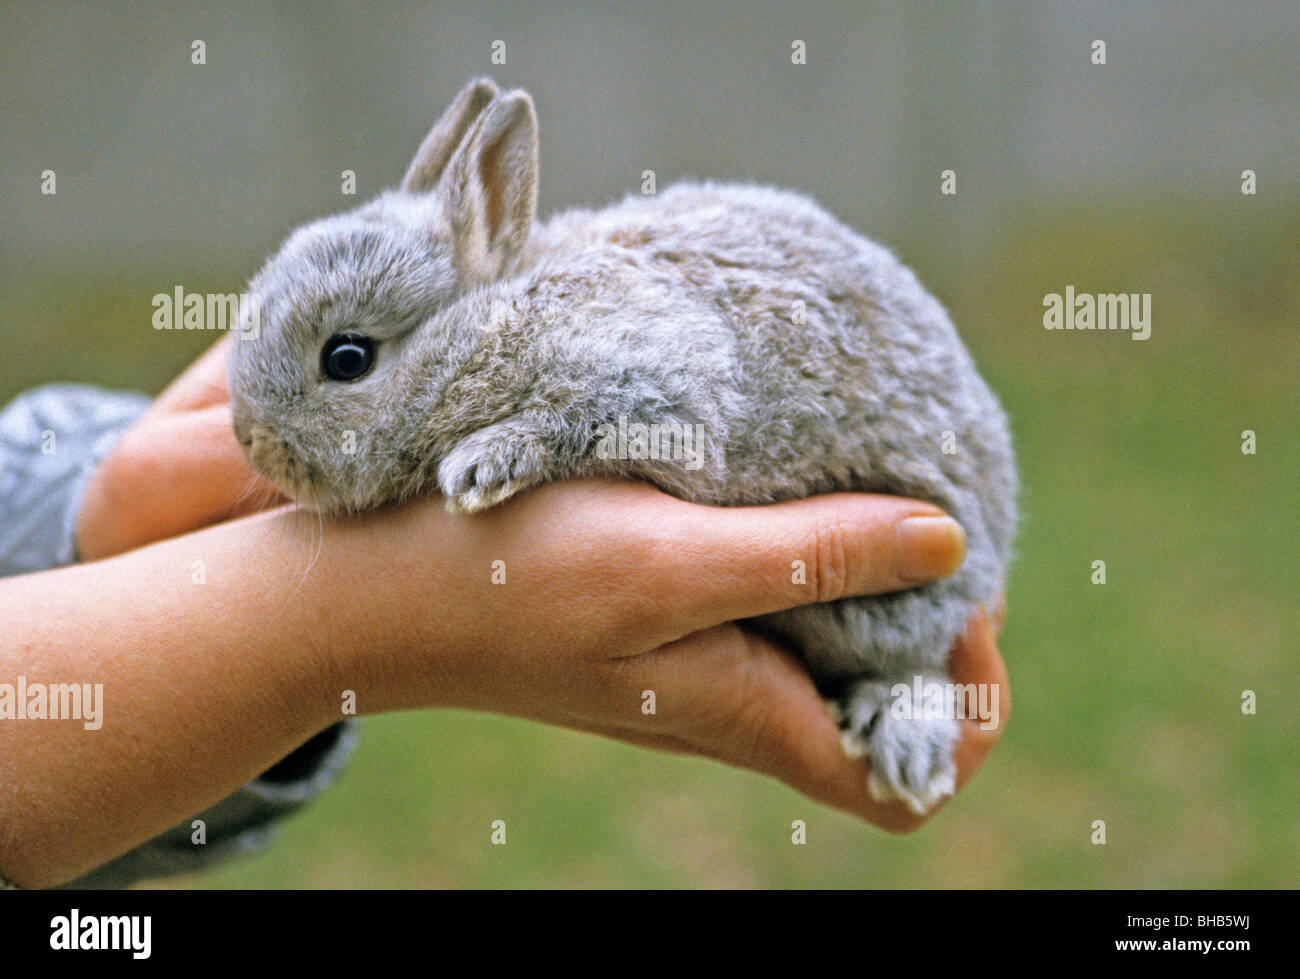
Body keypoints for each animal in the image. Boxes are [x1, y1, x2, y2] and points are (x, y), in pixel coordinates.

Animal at [229, 78, 1017, 815]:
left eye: (348, 357)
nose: (248, 438)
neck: (484, 323)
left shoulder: (661, 389)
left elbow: (573, 421)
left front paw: (481, 465)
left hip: (902, 596)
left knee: (915, 662)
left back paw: (906, 750)